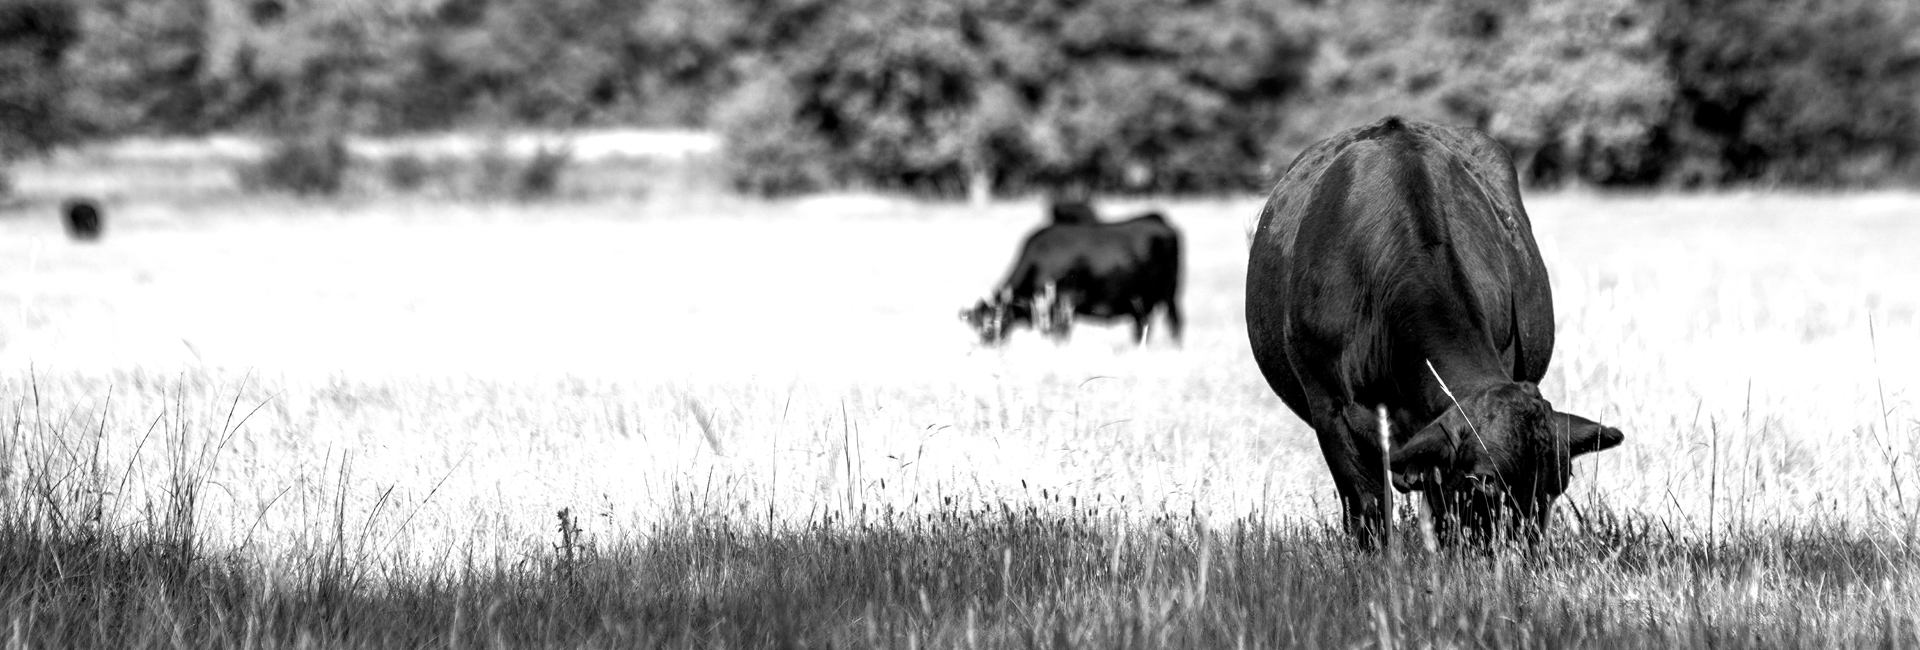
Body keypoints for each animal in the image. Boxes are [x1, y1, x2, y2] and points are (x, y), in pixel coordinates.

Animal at [962, 212, 1183, 346]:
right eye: (977, 325)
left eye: (993, 322)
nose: (987, 343)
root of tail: (1156, 219)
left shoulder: (1063, 305)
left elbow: (1060, 336)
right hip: (1141, 302)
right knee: (1143, 326)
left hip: (1169, 294)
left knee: (1175, 323)